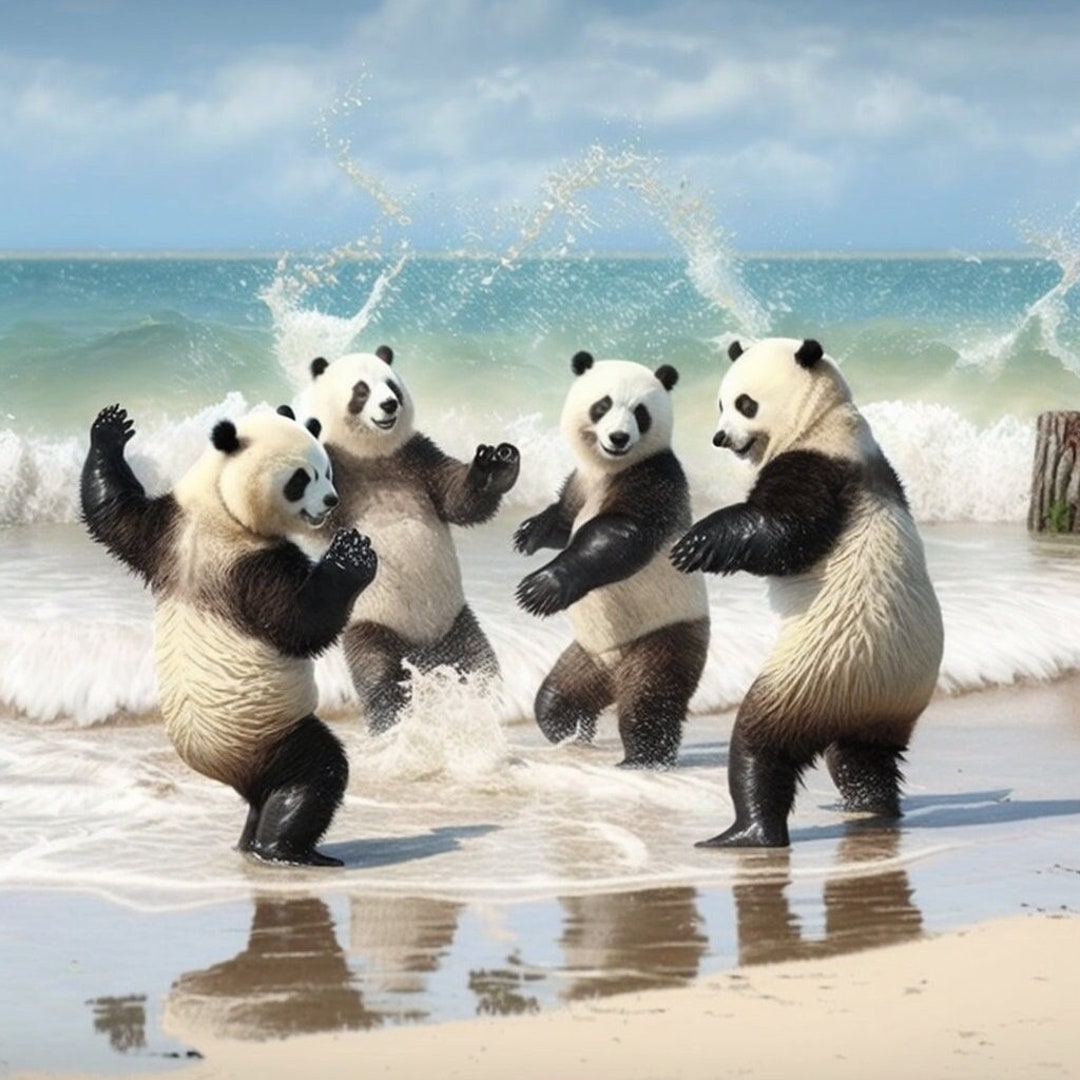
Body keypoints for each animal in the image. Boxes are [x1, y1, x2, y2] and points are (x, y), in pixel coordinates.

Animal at [80, 402, 378, 867]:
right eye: (301, 479)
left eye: (328, 470)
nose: (331, 501)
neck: (219, 504)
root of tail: (222, 769)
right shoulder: (245, 565)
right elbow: (298, 623)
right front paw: (351, 556)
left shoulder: (167, 532)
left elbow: (116, 515)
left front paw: (110, 430)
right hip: (265, 735)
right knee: (316, 771)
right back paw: (286, 848)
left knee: (270, 795)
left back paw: (251, 842)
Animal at [307, 345, 520, 733]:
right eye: (361, 390)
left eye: (391, 385)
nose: (389, 405)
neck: (370, 454)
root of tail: (421, 649)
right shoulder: (338, 464)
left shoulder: (416, 456)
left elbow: (457, 500)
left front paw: (496, 465)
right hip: (373, 620)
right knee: (378, 674)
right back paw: (392, 722)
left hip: (455, 621)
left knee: (480, 665)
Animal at [514, 351, 710, 769]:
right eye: (602, 405)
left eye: (640, 412)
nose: (618, 438)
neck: (609, 467)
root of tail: (615, 674)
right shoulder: (580, 482)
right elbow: (564, 520)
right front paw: (528, 533)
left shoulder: (655, 477)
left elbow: (620, 536)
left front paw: (539, 588)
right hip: (589, 654)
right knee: (557, 696)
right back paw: (575, 733)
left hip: (664, 635)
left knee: (649, 697)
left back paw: (643, 757)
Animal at [671, 337, 944, 847]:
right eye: (720, 403)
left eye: (746, 403)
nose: (720, 438)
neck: (823, 416)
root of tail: (873, 698)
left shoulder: (823, 465)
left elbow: (785, 533)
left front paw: (696, 544)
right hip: (882, 705)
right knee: (861, 757)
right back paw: (870, 807)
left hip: (816, 673)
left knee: (762, 742)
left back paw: (747, 832)